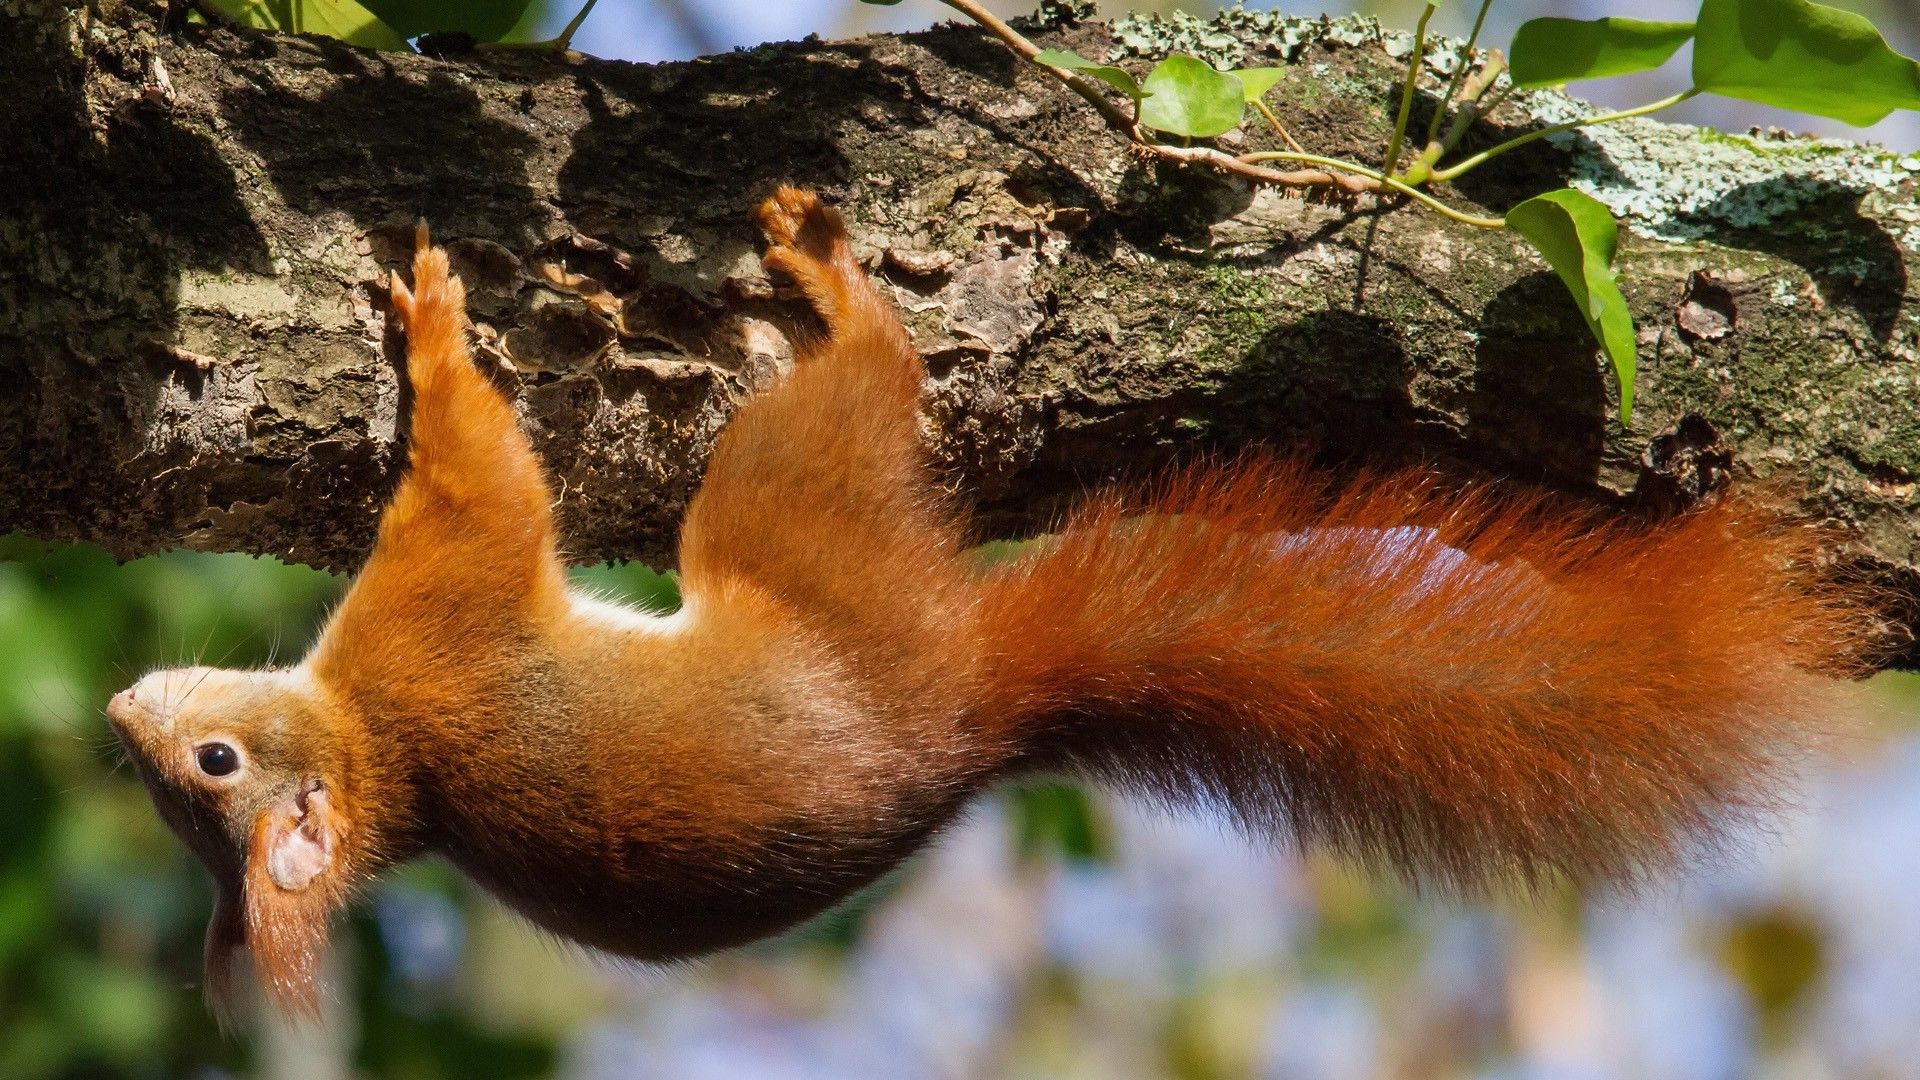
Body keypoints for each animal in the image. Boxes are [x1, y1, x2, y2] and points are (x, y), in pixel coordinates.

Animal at [107, 186, 1868, 1021]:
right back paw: (842, 293)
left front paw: (421, 319)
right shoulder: (443, 603)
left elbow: (477, 477)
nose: (123, 707)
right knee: (854, 401)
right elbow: (479, 478)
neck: (376, 740)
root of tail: (980, 701)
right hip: (793, 509)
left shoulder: (431, 619)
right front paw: (431, 328)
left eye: (206, 771)